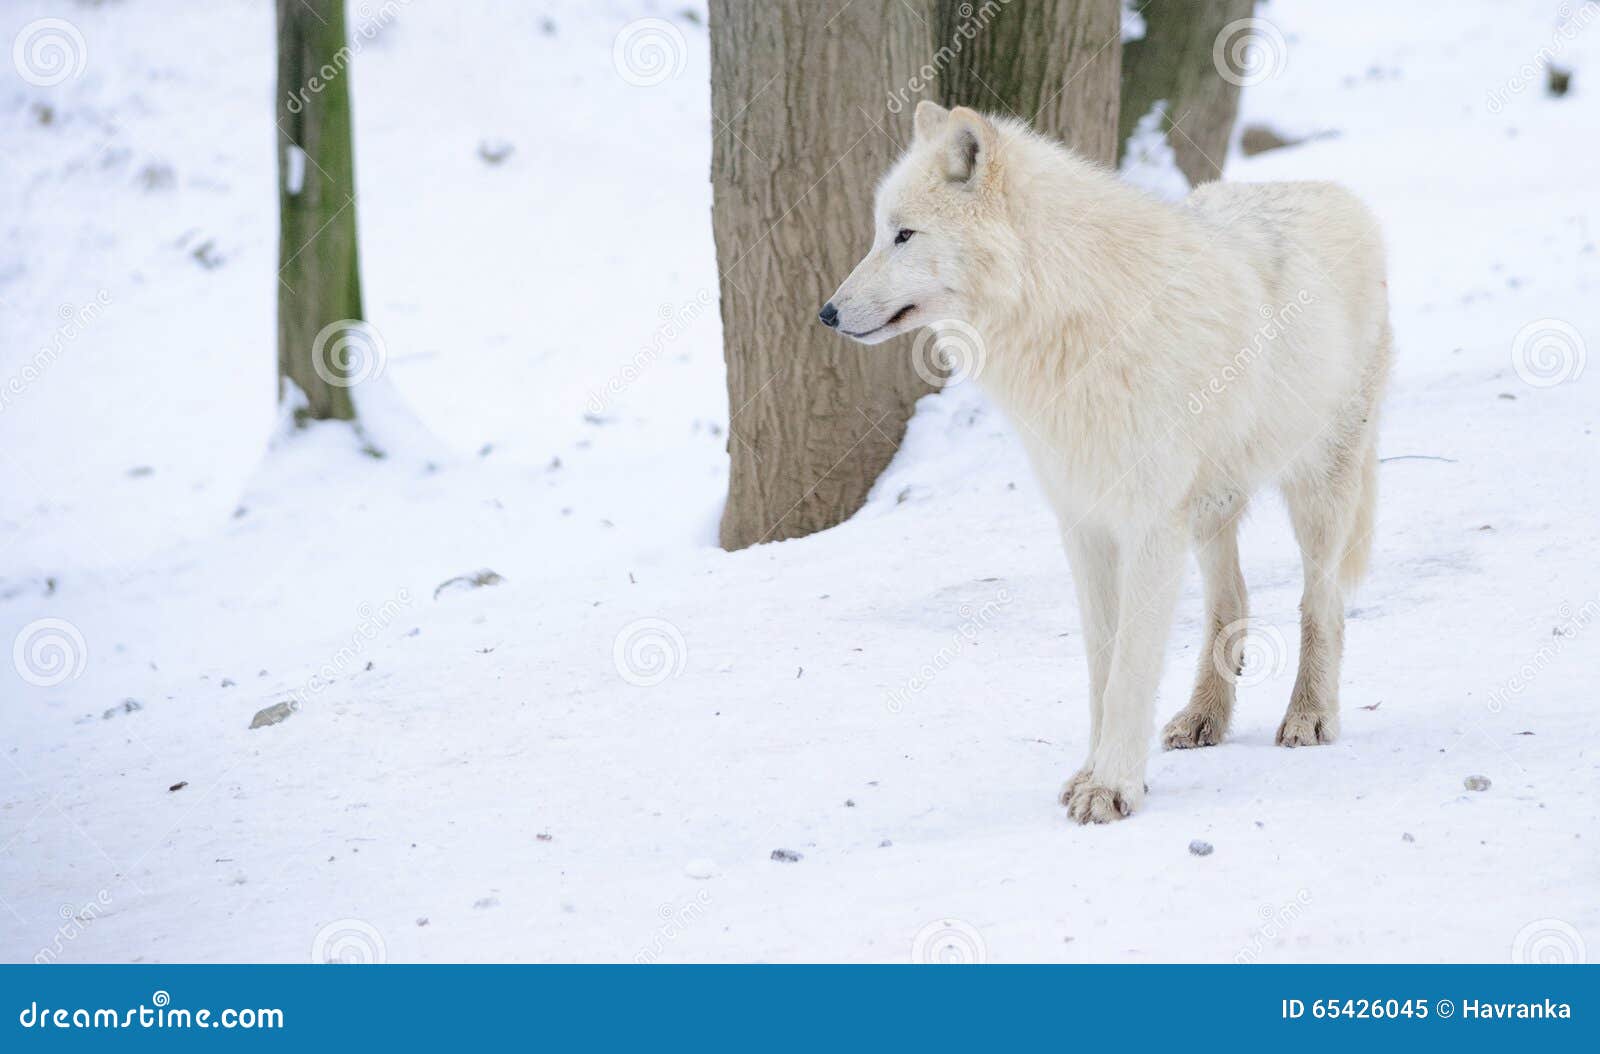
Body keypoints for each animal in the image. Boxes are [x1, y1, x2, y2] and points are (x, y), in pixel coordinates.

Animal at [822, 102, 1391, 822]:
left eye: (904, 234)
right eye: (879, 234)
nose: (826, 313)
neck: (1070, 322)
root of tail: (1335, 192)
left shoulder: (1148, 526)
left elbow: (1129, 675)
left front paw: (1113, 788)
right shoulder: (1085, 525)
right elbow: (1101, 668)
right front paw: (1093, 774)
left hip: (1317, 491)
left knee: (1323, 603)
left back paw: (1310, 715)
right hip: (1210, 512)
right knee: (1231, 600)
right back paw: (1204, 718)